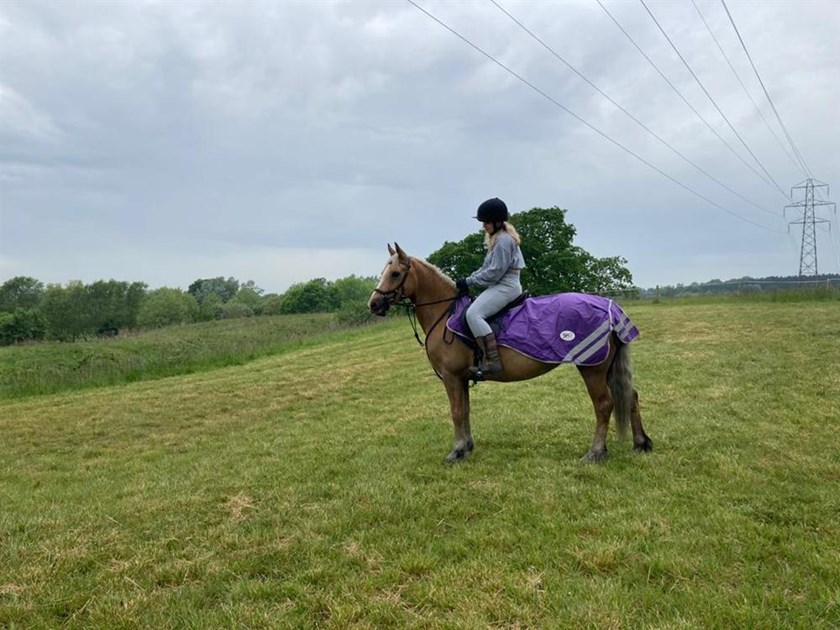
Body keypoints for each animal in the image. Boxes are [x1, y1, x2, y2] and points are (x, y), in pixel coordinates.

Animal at [368, 243, 653, 464]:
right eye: (384, 272)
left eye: (395, 273)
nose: (374, 304)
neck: (446, 315)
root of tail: (609, 306)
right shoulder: (462, 378)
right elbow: (466, 410)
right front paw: (467, 447)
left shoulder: (451, 376)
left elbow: (456, 411)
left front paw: (456, 451)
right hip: (607, 367)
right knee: (631, 397)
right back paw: (641, 443)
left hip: (592, 367)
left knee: (604, 405)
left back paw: (595, 453)